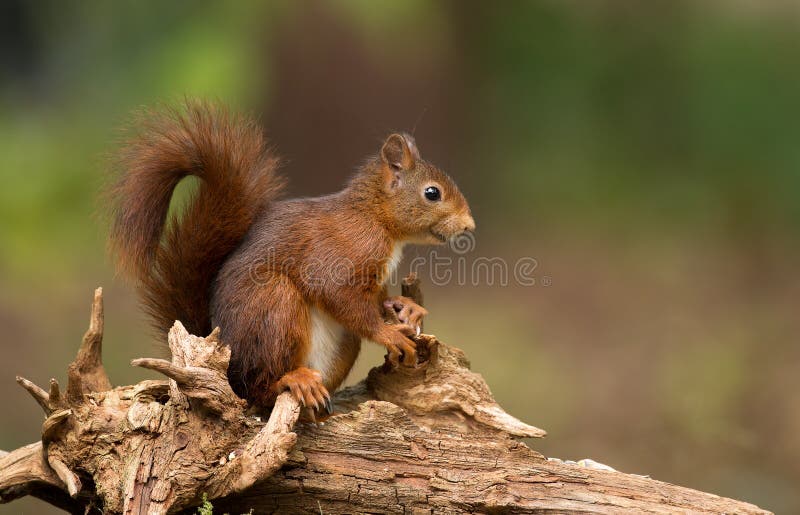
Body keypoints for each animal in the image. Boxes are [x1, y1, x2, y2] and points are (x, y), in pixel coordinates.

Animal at [107, 101, 475, 412]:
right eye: (432, 193)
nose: (469, 225)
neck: (375, 218)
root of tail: (230, 369)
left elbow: (376, 300)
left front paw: (405, 307)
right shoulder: (339, 256)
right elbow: (341, 297)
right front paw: (389, 333)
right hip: (275, 306)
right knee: (260, 391)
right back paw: (292, 381)